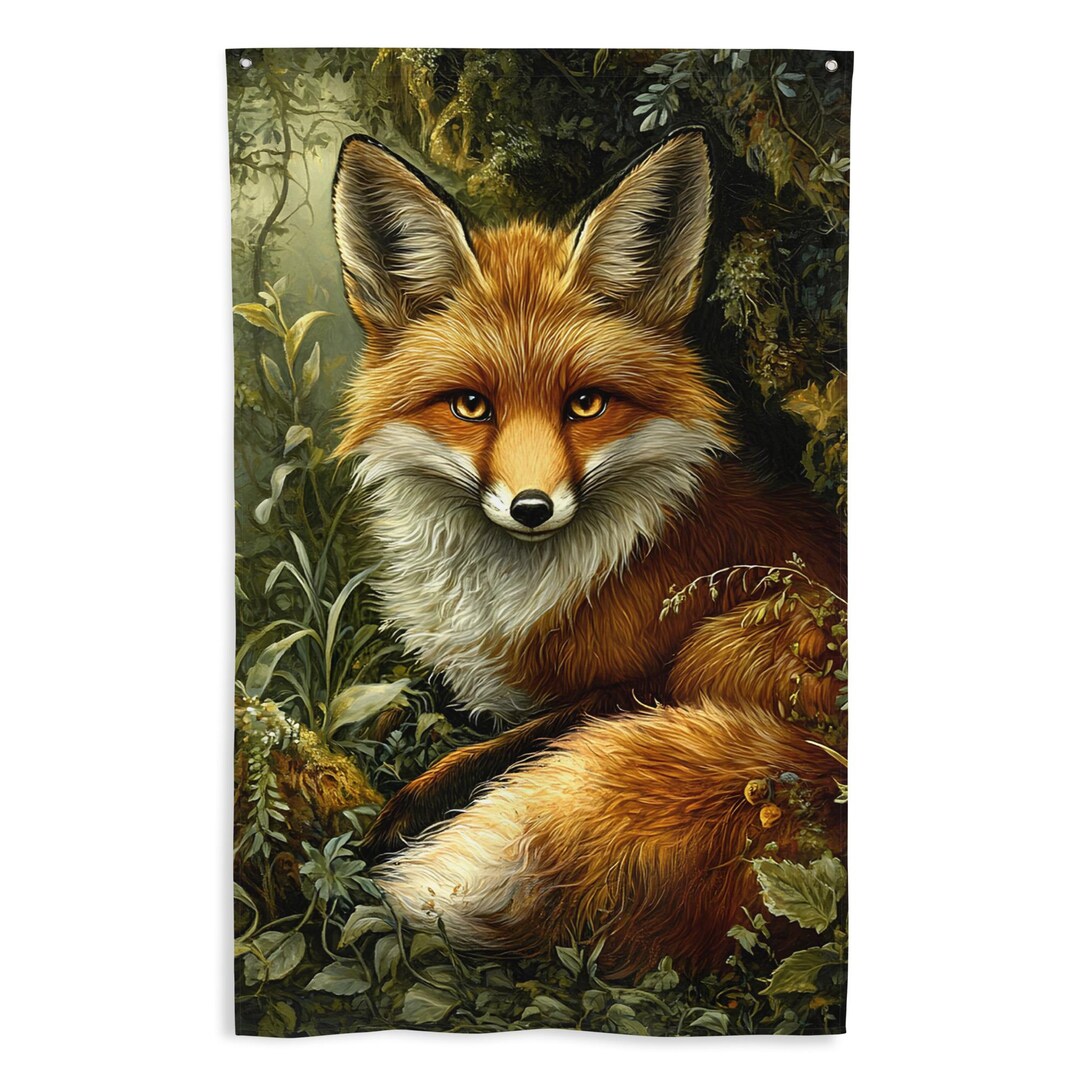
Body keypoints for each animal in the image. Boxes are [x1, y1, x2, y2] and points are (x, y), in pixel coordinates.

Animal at [330, 129, 847, 976]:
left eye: (586, 404)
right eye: (471, 406)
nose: (531, 508)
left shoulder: (633, 682)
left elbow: (492, 750)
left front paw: (400, 817)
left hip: (725, 645)